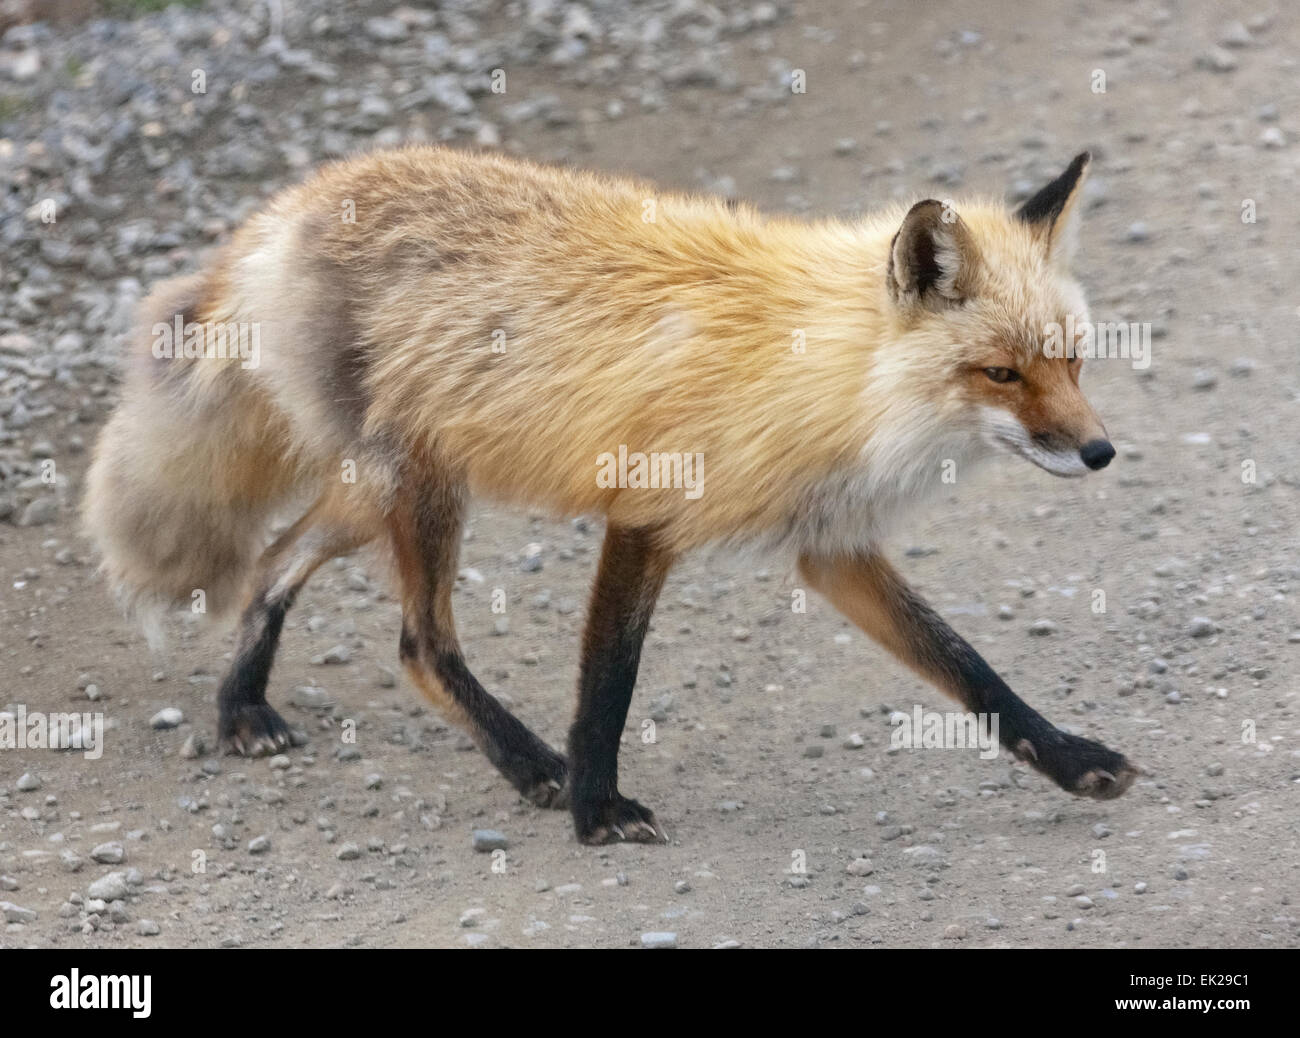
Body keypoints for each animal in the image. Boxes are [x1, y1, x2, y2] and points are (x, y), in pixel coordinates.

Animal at [83, 145, 1138, 844]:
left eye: (1073, 360)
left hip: (386, 488)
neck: (821, 372)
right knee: (420, 645)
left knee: (273, 557)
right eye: (1001, 373)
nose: (1099, 452)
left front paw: (1066, 757)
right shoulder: (645, 513)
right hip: (418, 488)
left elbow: (971, 669)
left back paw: (241, 706)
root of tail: (290, 205)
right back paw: (528, 767)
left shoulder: (831, 546)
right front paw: (598, 808)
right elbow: (608, 686)